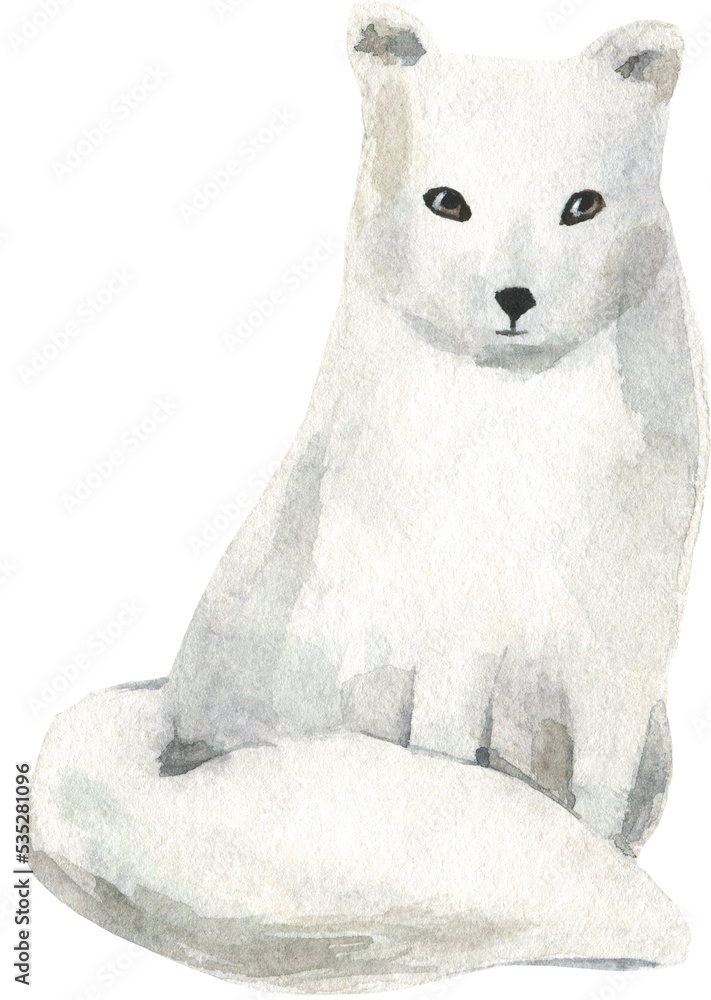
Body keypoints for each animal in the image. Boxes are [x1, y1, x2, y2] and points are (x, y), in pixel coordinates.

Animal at [159, 3, 708, 853]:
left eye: (582, 205)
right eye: (447, 202)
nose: (514, 298)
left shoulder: (627, 629)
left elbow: (602, 782)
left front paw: (595, 857)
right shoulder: (453, 615)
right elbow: (447, 739)